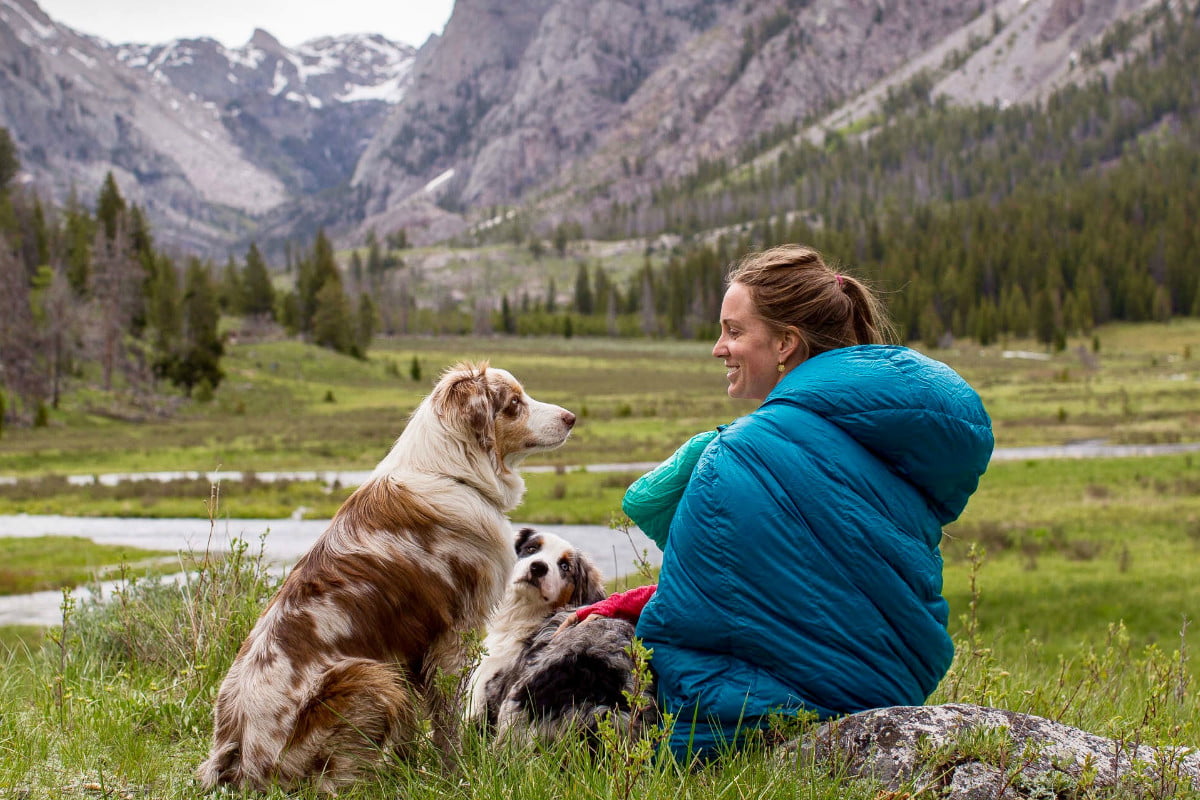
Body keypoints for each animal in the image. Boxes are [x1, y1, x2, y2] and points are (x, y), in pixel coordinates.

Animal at [196, 364, 576, 796]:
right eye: (514, 403)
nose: (571, 417)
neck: (452, 471)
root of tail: (237, 763)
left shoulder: (408, 649)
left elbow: (412, 722)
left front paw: (412, 769)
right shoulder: (454, 633)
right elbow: (446, 717)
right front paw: (456, 775)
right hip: (366, 677)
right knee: (329, 785)